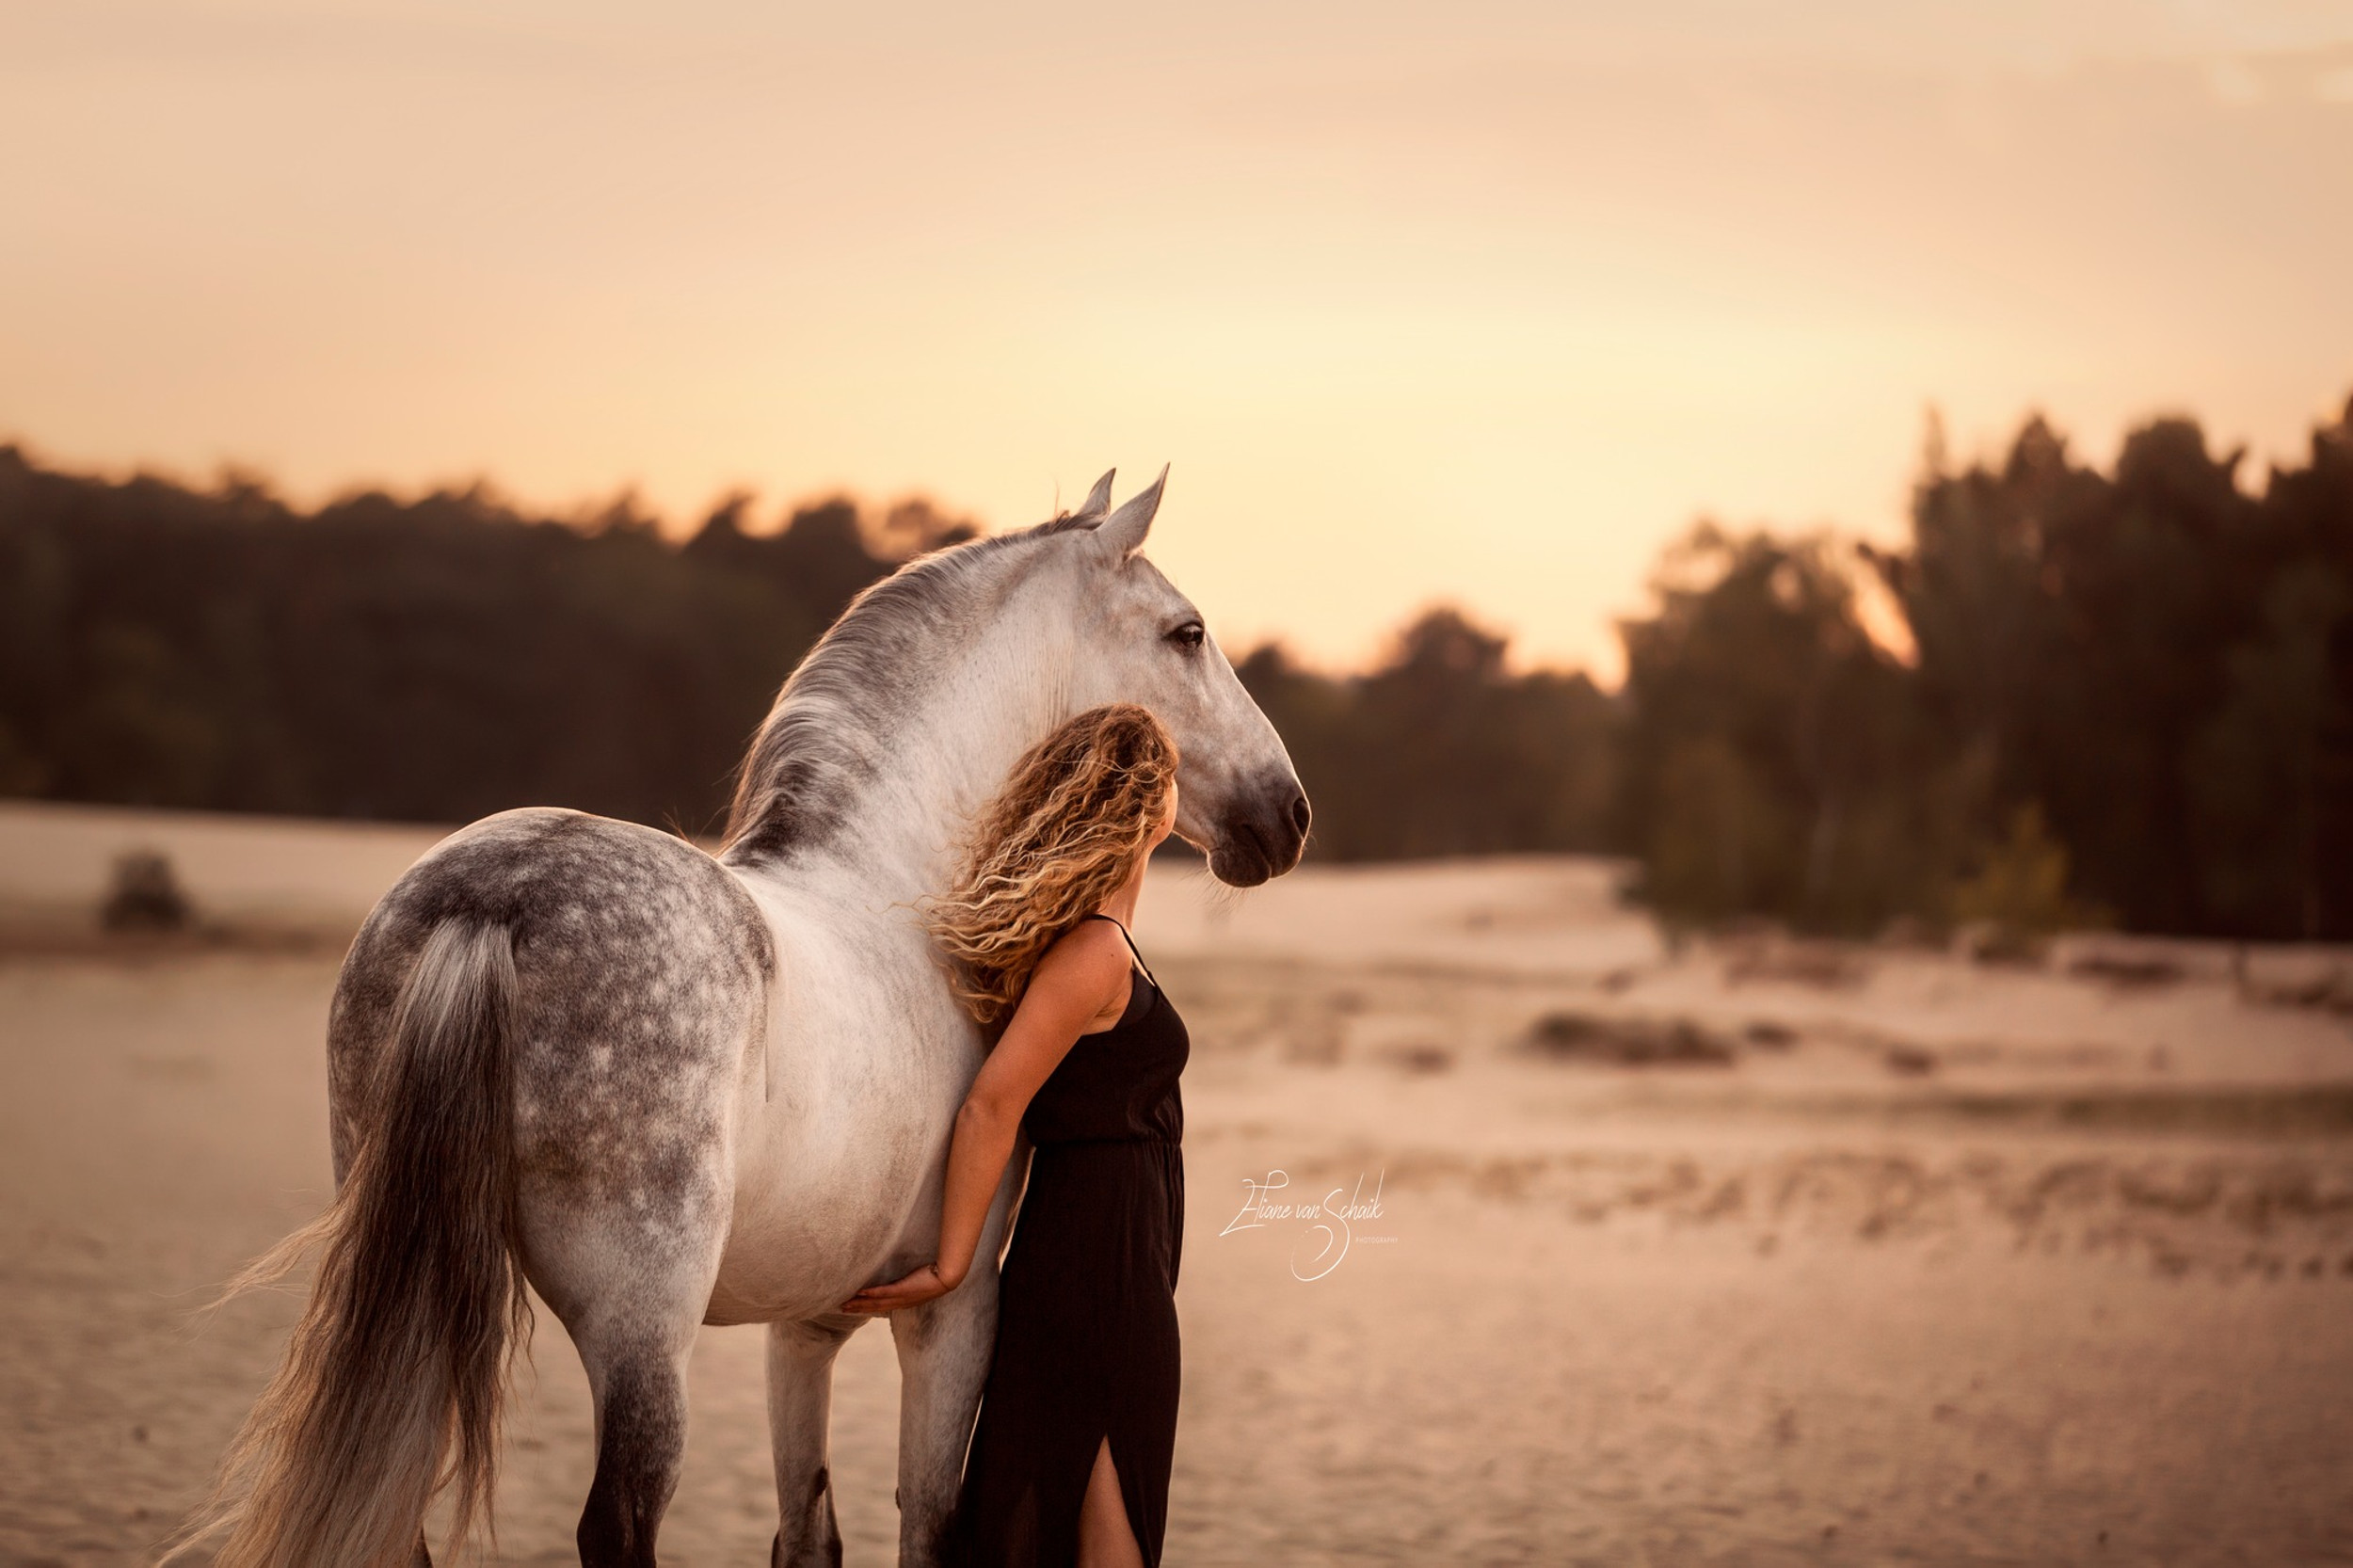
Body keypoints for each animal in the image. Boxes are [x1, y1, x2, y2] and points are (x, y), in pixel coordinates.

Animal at [181, 468, 1311, 1568]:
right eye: (1187, 632)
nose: (1289, 815)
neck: (898, 898)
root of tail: (492, 898)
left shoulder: (802, 1326)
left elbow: (808, 1534)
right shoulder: (953, 1314)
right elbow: (927, 1525)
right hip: (643, 1326)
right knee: (617, 1522)